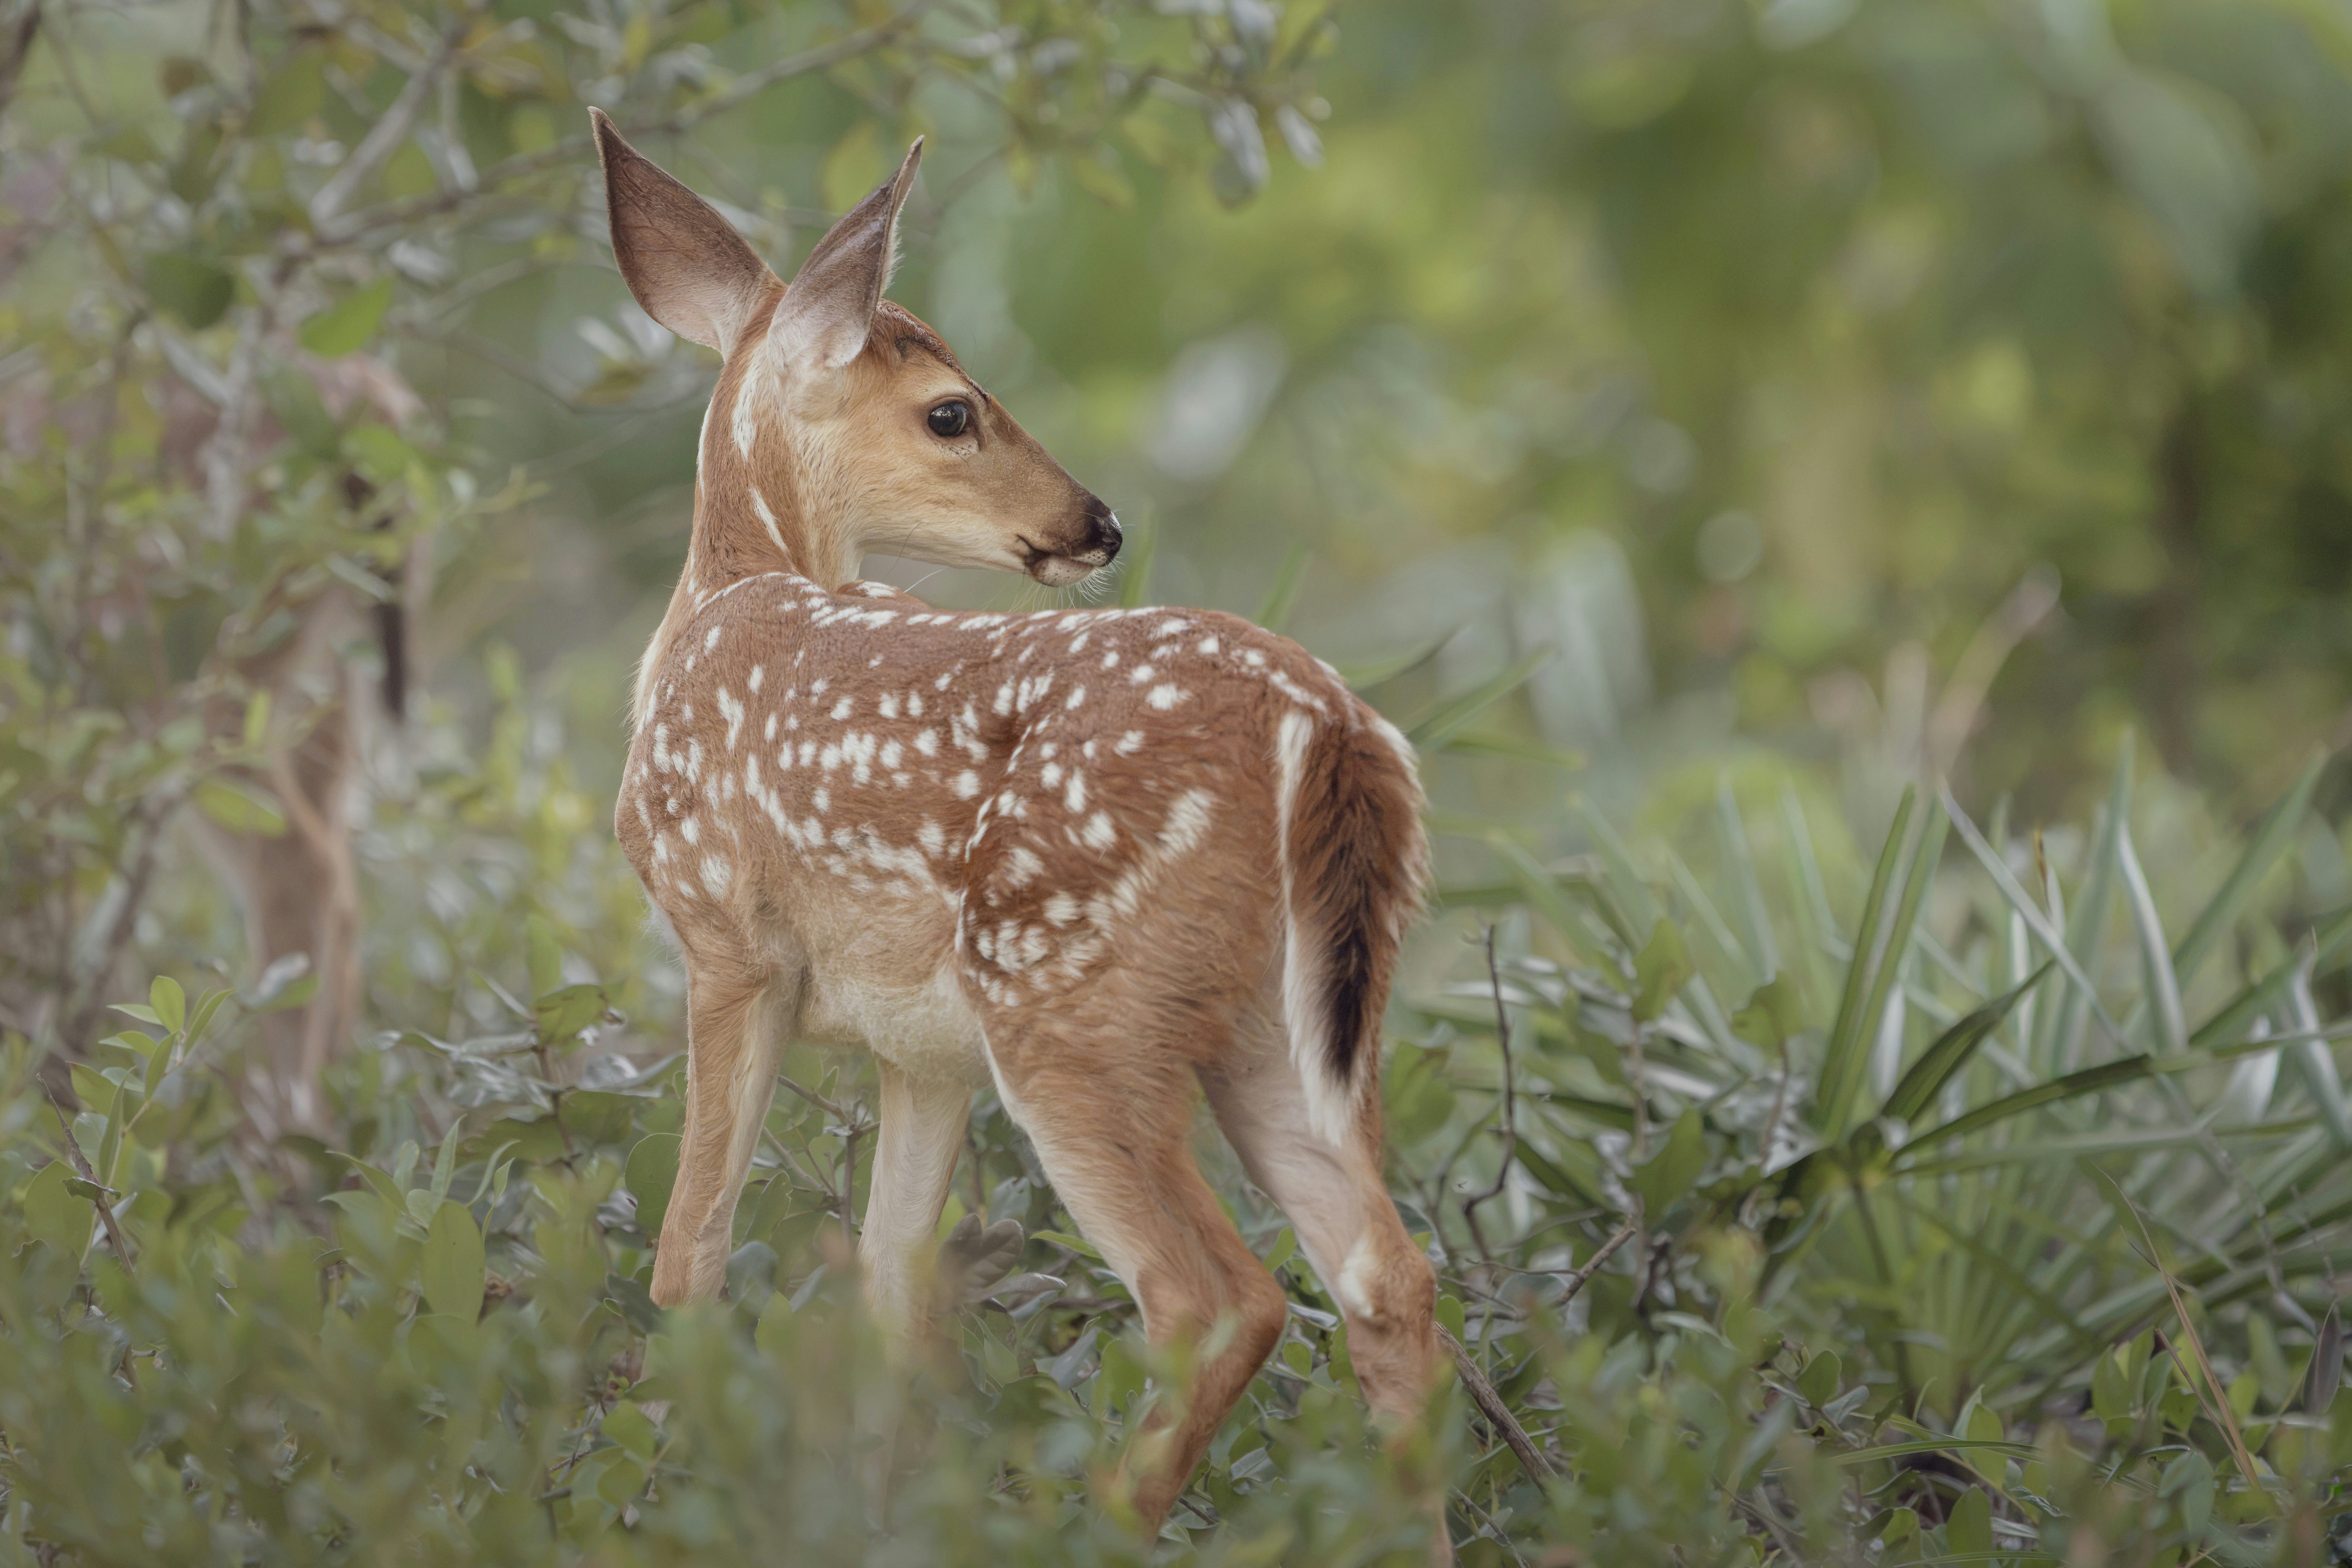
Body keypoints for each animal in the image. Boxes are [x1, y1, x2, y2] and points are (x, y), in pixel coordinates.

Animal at [592, 109, 1448, 1546]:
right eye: (952, 410)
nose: (1097, 523)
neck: (724, 602)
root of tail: (1331, 730)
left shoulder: (730, 940)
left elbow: (689, 1244)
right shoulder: (918, 1045)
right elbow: (889, 1284)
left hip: (1070, 1000)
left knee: (1220, 1296)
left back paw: (1087, 1518)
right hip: (1287, 1024)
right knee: (1389, 1278)